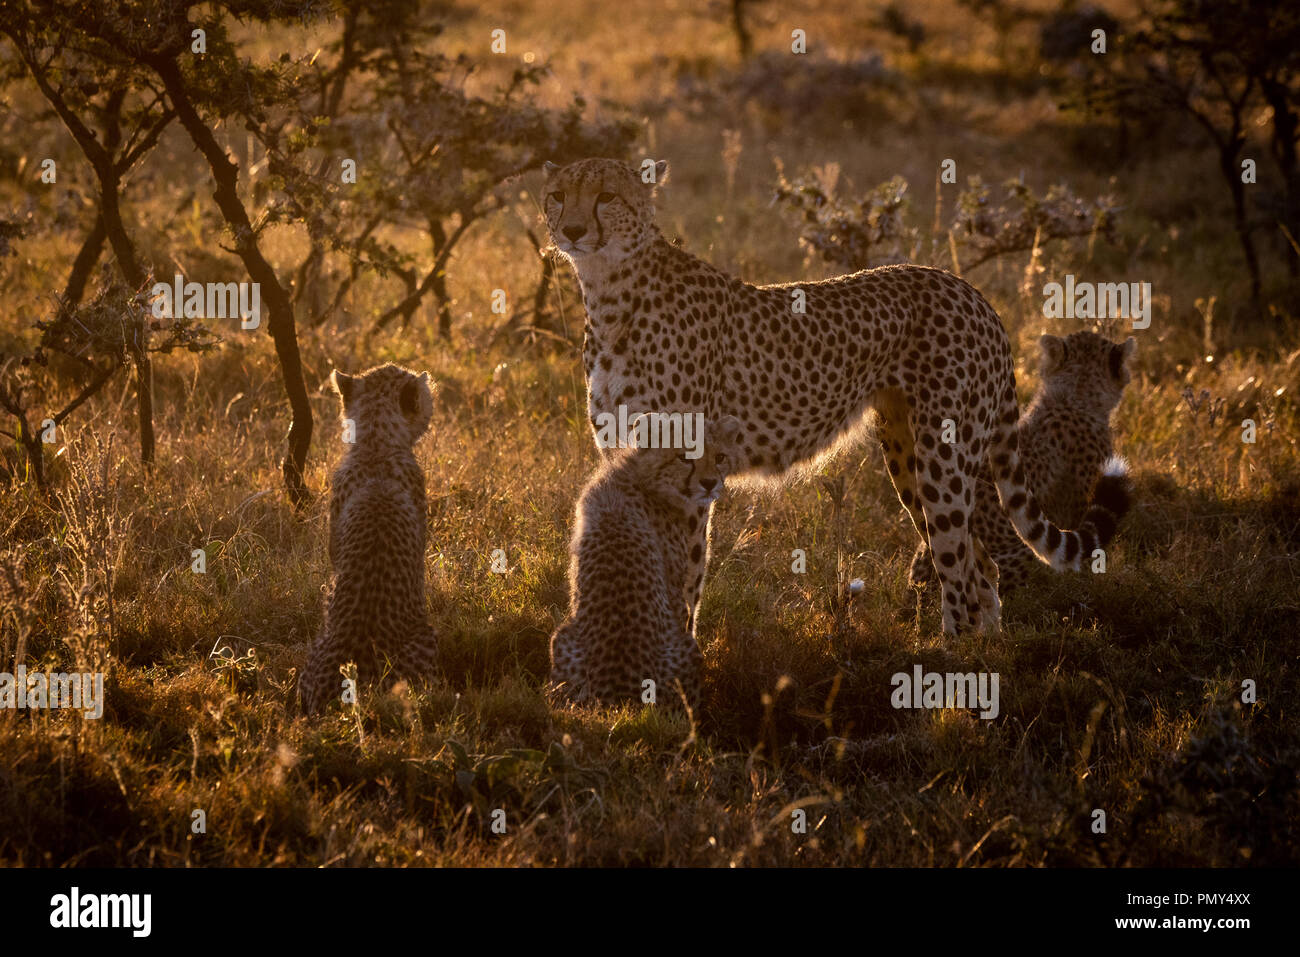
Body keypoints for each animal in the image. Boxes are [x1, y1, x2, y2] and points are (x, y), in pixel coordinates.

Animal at [548, 414, 743, 711]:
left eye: (720, 456)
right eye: (685, 457)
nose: (709, 483)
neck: (642, 476)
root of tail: (619, 699)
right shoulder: (678, 591)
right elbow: (686, 614)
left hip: (561, 641)